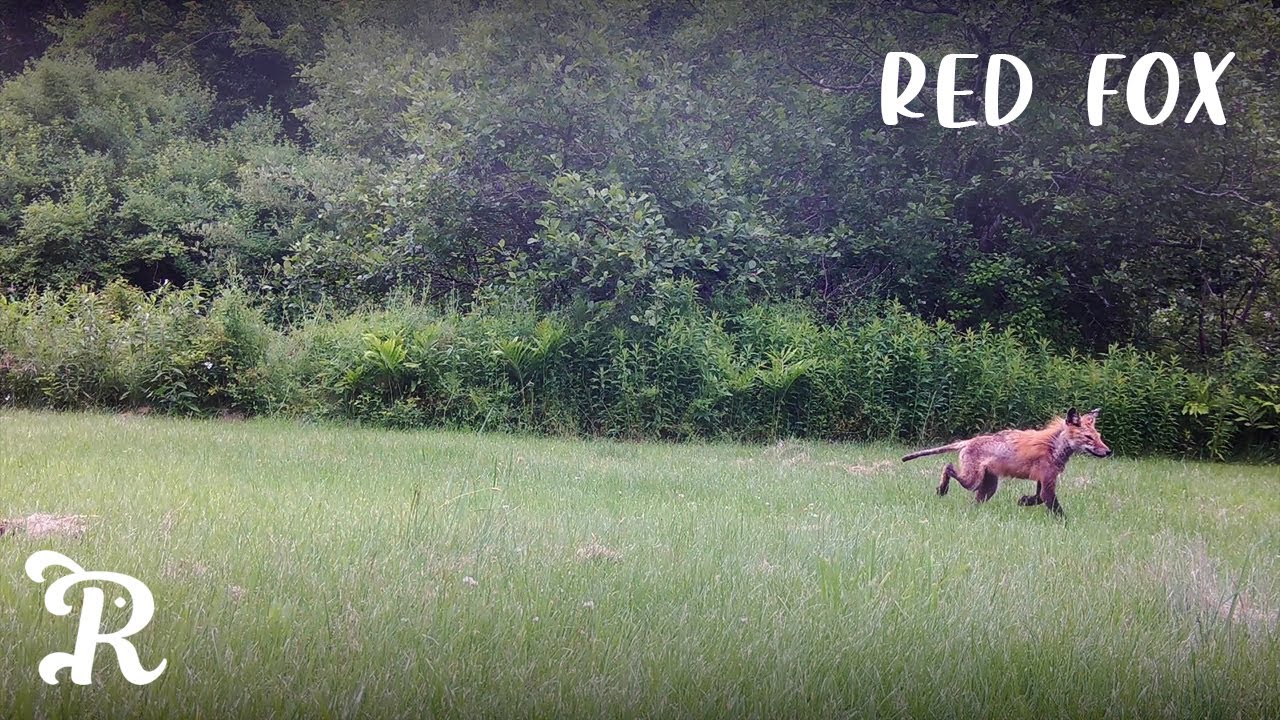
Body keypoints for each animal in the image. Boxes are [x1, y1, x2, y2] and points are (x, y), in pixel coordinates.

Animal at [901, 408, 1112, 517]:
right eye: (1088, 438)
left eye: (1099, 436)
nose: (1108, 451)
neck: (1053, 447)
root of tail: (969, 441)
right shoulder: (1048, 483)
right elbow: (1055, 508)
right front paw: (1066, 525)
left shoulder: (1042, 480)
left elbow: (1037, 498)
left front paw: (1024, 501)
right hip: (972, 480)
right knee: (948, 467)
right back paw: (942, 489)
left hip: (987, 488)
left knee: (973, 501)